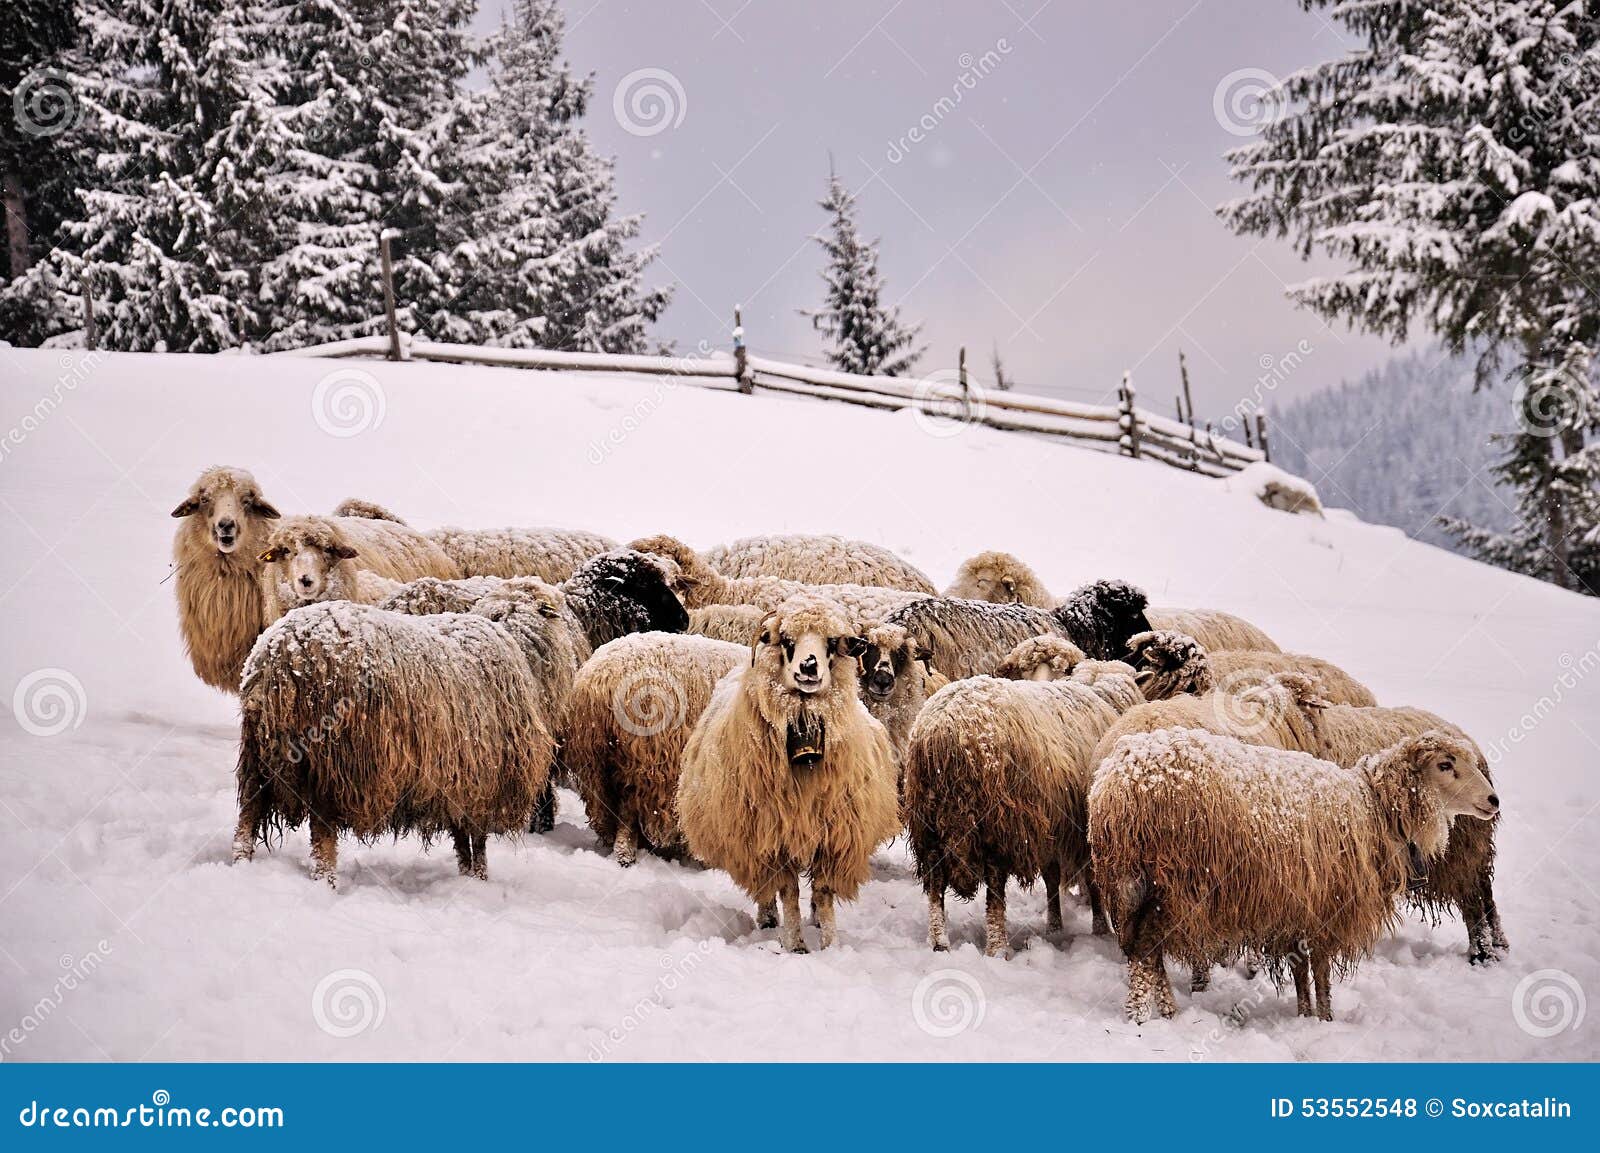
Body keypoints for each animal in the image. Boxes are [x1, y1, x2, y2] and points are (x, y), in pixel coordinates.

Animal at [234, 586, 567, 887]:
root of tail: (282, 657)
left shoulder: (459, 781)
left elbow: (462, 841)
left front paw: (466, 876)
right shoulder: (484, 778)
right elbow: (478, 841)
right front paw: (479, 880)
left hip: (257, 753)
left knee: (248, 816)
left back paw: (242, 864)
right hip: (335, 759)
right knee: (322, 833)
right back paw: (325, 881)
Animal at [676, 593, 900, 952]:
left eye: (832, 642)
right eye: (786, 640)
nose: (808, 667)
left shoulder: (834, 837)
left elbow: (823, 893)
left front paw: (831, 944)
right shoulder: (772, 836)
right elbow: (789, 892)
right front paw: (795, 944)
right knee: (767, 888)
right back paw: (768, 918)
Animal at [903, 660, 1144, 954]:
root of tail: (947, 730)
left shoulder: (1051, 824)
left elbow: (1052, 876)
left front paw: (1054, 926)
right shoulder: (1083, 826)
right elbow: (1092, 880)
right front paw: (1099, 928)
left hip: (928, 823)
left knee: (936, 883)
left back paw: (939, 942)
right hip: (998, 819)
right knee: (995, 888)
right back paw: (997, 948)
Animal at [1090, 727, 1497, 1022]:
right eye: (1445, 764)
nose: (1494, 800)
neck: (1374, 811)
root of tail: (1118, 781)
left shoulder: (1299, 912)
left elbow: (1303, 975)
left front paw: (1305, 1015)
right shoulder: (1328, 907)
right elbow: (1322, 973)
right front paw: (1326, 1019)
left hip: (1133, 881)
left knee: (1145, 951)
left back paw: (1164, 1009)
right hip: (1171, 881)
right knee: (1146, 950)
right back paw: (1143, 1016)